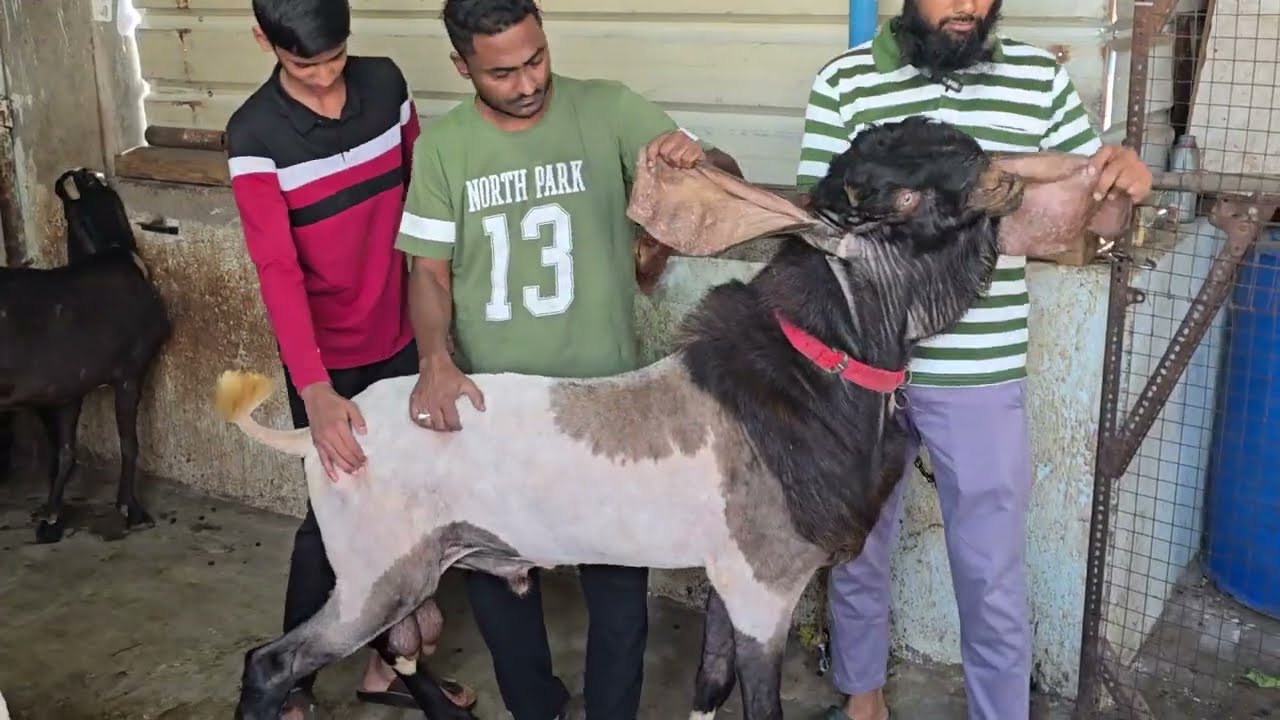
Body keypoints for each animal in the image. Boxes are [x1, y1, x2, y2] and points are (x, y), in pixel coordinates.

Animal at [0, 168, 170, 543]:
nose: (86, 173)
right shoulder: (131, 370)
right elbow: (129, 442)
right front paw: (132, 509)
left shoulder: (70, 386)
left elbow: (67, 450)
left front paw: (52, 518)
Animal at [213, 116, 1056, 720]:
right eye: (896, 196)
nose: (997, 171)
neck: (814, 372)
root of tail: (321, 432)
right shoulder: (766, 585)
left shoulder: (727, 580)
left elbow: (709, 686)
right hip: (373, 576)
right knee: (270, 662)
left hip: (408, 576)